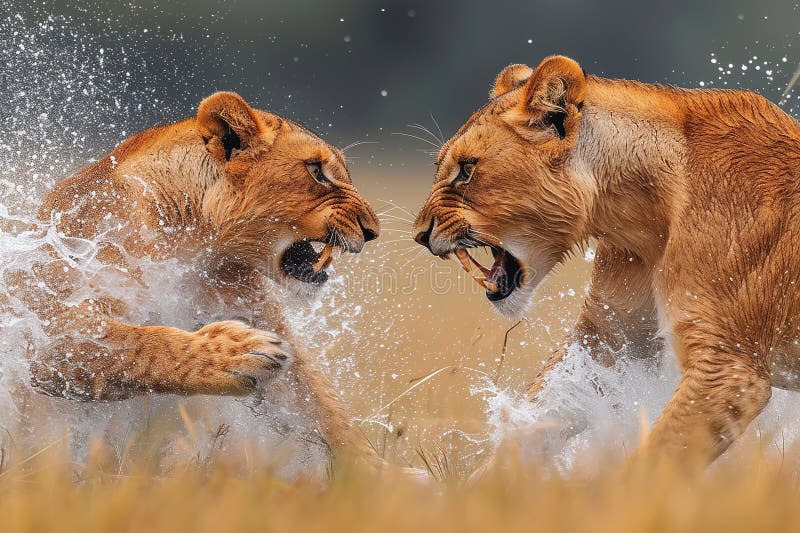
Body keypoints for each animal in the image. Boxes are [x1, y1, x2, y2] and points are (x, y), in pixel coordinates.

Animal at [10, 91, 382, 465]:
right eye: (316, 171)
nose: (373, 232)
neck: (196, 245)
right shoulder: (46, 330)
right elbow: (140, 343)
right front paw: (233, 355)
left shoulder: (251, 308)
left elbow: (320, 406)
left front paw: (375, 470)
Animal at [413, 55, 800, 467]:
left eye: (466, 169)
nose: (419, 234)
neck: (641, 216)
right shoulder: (612, 334)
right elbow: (539, 417)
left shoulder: (731, 368)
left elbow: (654, 459)